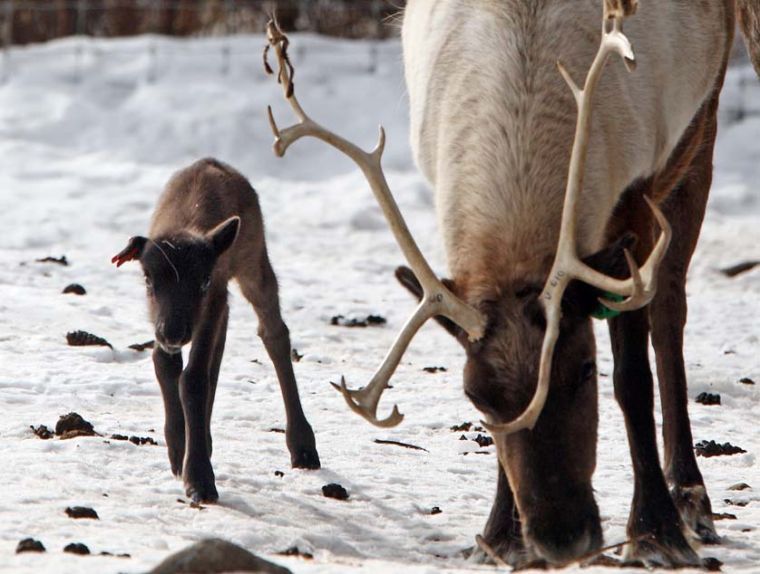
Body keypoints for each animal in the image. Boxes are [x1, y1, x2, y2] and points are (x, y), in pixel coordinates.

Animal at [112, 158, 320, 503]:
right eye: (148, 279)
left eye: (203, 281)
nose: (173, 332)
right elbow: (166, 364)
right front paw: (179, 449)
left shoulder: (215, 297)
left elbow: (195, 379)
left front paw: (199, 479)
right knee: (218, 356)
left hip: (253, 263)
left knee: (274, 333)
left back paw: (303, 446)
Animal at [263, 0, 759, 567]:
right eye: (475, 394)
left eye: (583, 371)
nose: (560, 539)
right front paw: (500, 536)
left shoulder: (636, 191)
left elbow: (633, 380)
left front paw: (656, 533)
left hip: (700, 129)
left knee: (670, 312)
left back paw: (691, 498)